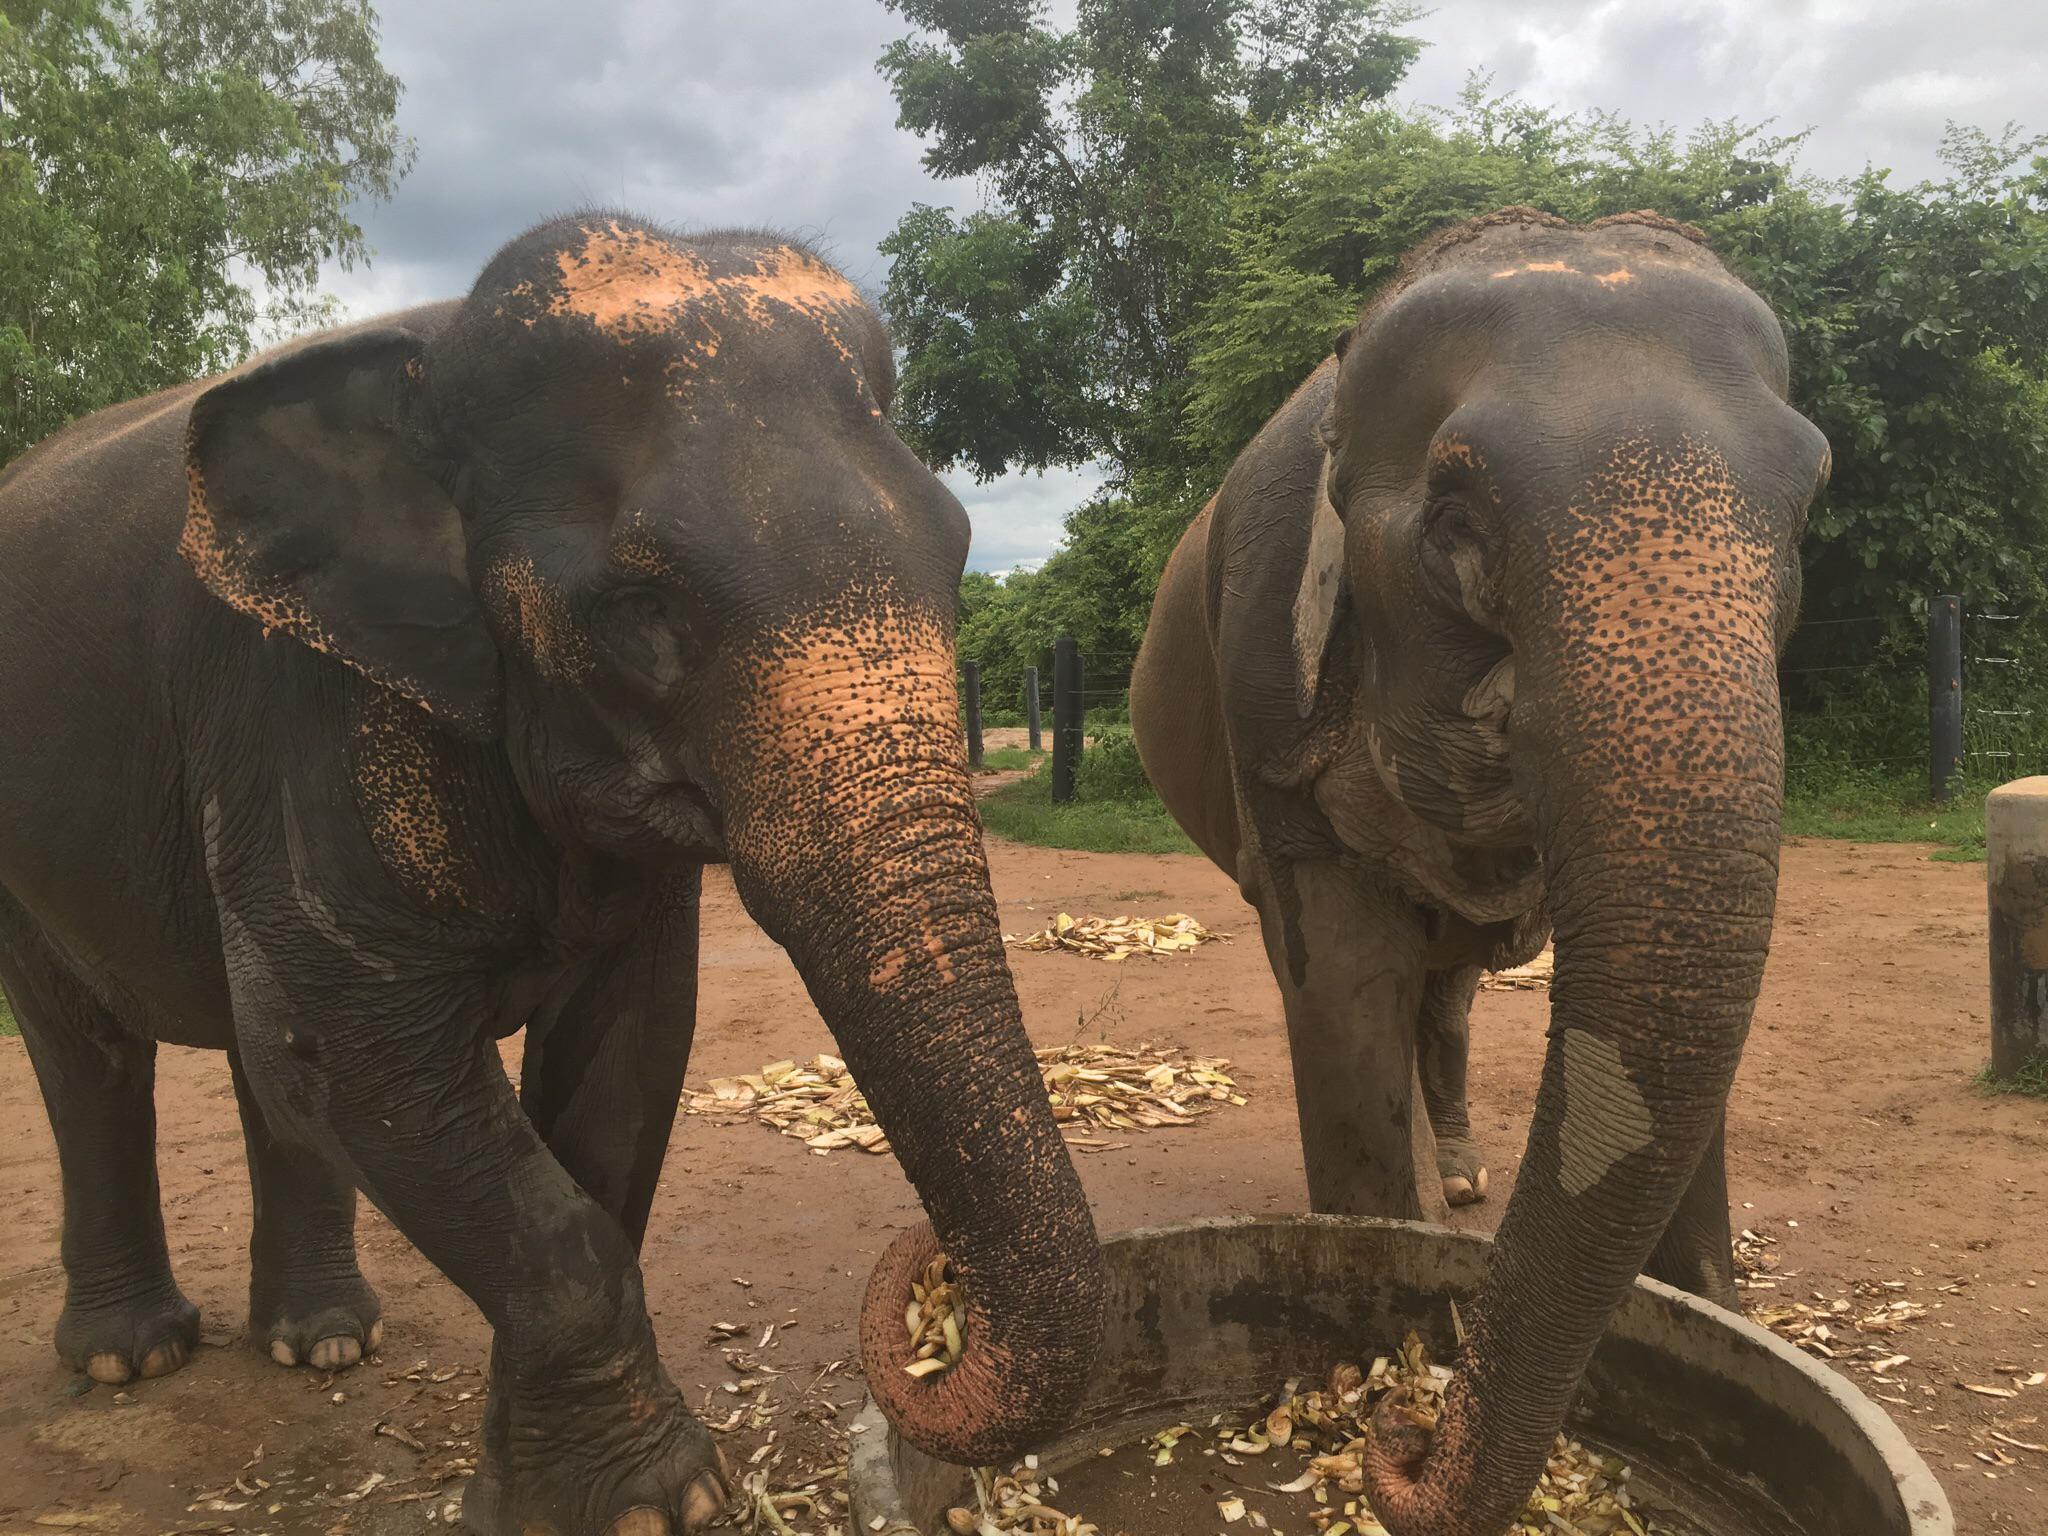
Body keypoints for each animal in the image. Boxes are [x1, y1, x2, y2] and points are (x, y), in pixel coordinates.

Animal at [0, 213, 1104, 1535]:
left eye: (956, 554)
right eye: (641, 606)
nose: (931, 1291)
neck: (439, 350)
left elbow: (626, 1051)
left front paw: (571, 1501)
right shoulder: (293, 703)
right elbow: (353, 1049)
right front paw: (656, 1501)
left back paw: (323, 1344)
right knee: (99, 1053)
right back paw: (134, 1357)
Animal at [1130, 207, 1827, 1536]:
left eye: (1808, 504)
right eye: (1452, 522)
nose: (1401, 1438)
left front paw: (1718, 1320)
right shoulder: (1267, 694)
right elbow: (1341, 980)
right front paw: (1372, 1272)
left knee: (1447, 992)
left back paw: (1458, 1184)